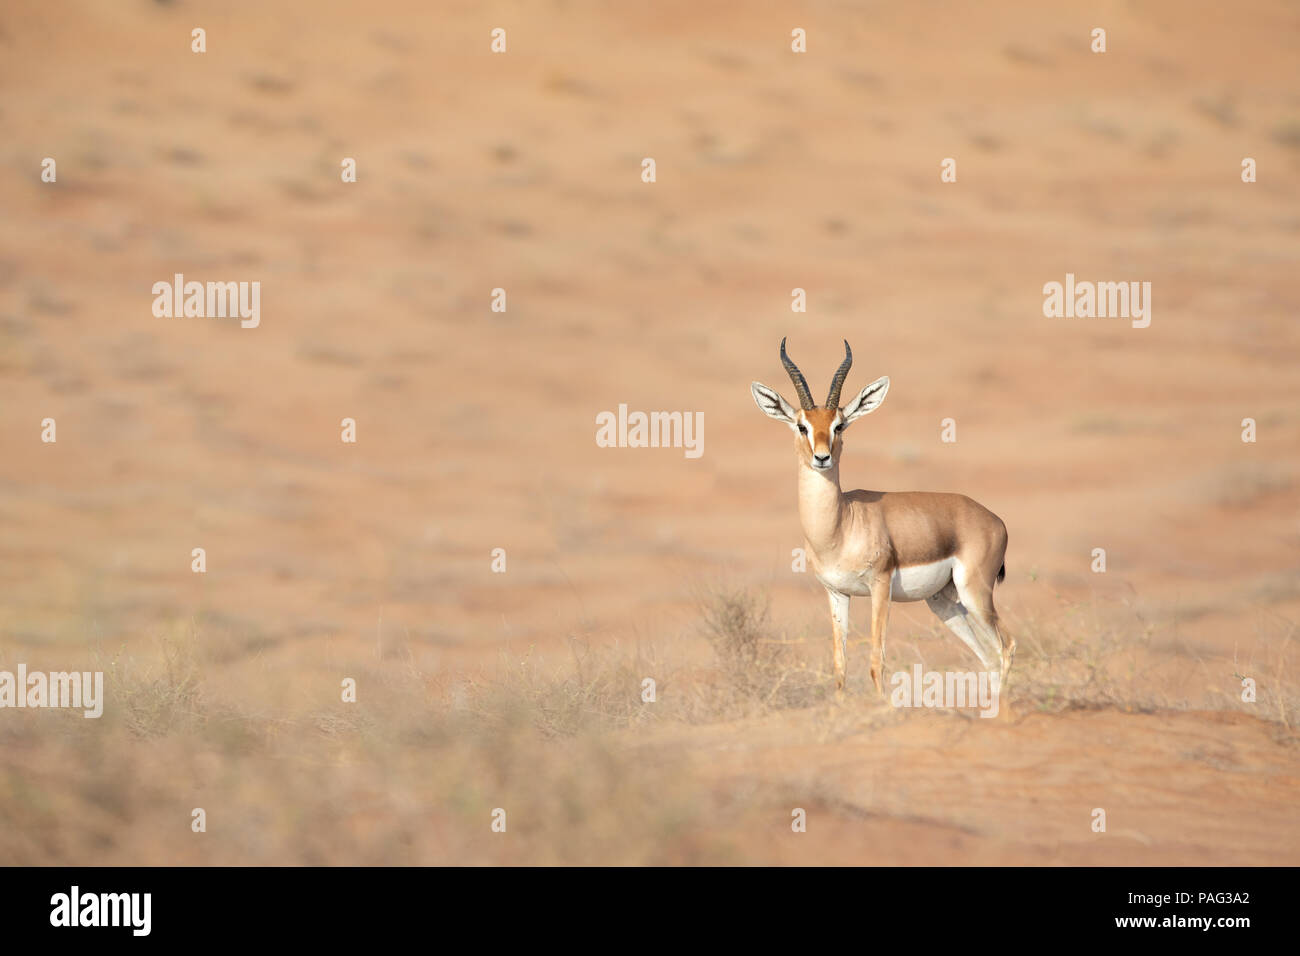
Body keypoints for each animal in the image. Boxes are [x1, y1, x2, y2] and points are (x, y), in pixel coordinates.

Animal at [750, 339, 1013, 694]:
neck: (840, 527)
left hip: (975, 593)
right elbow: (840, 665)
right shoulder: (836, 593)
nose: (822, 457)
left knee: (1006, 648)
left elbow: (877, 661)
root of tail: (993, 519)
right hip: (944, 602)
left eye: (839, 425)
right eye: (802, 426)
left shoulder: (880, 585)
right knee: (989, 658)